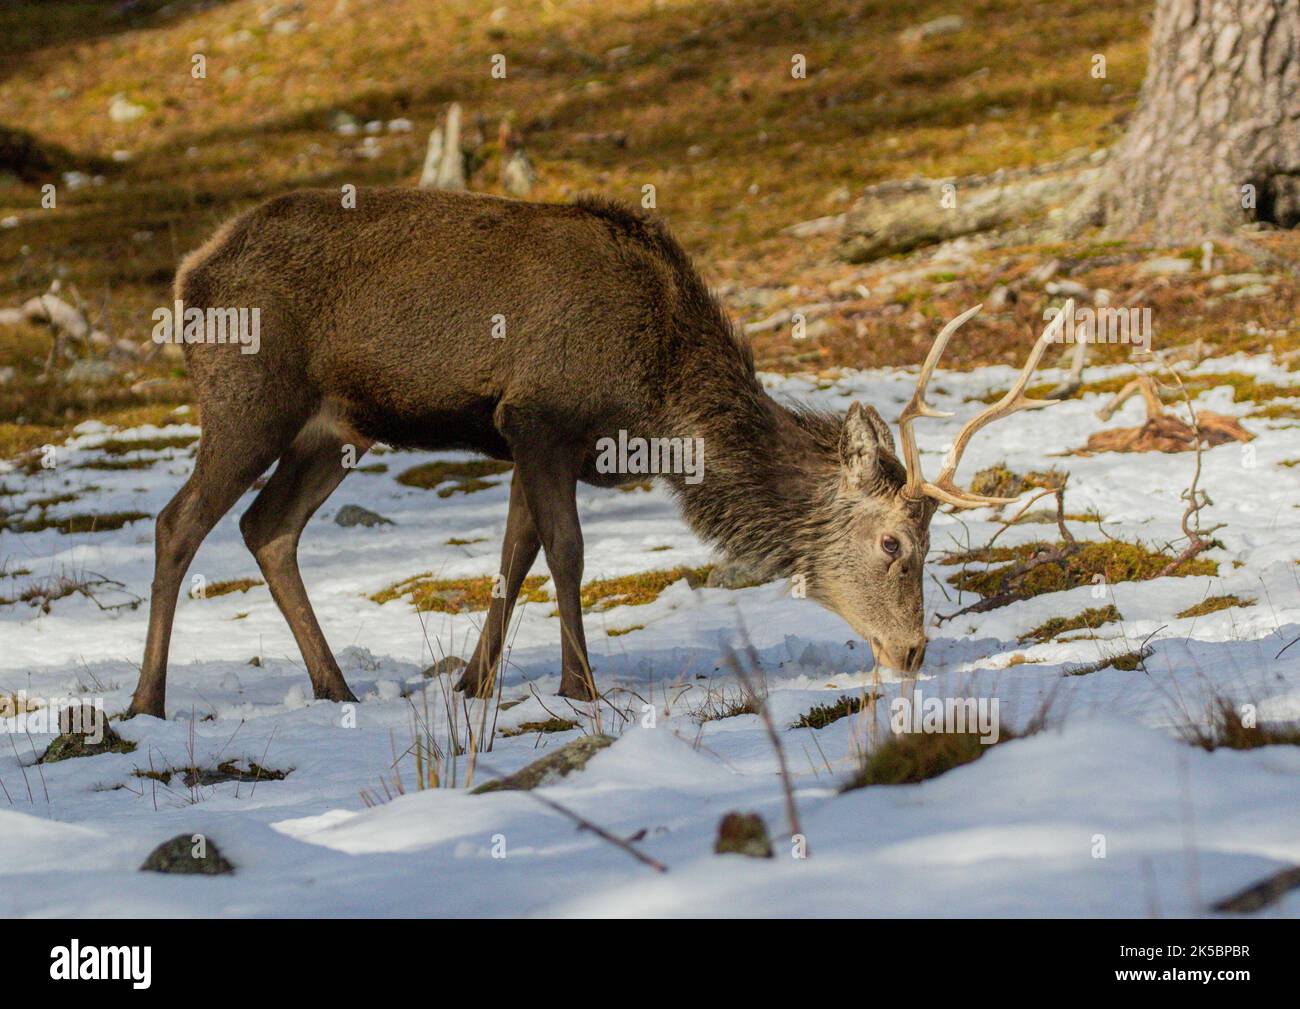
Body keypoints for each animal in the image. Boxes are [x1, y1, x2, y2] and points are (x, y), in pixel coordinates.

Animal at [127, 186, 1068, 719]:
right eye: (893, 542)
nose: (910, 654)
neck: (658, 399)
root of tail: (186, 274)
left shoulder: (528, 438)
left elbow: (515, 554)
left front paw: (473, 684)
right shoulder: (545, 416)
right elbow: (567, 554)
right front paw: (582, 687)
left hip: (334, 431)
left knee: (266, 528)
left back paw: (335, 687)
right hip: (249, 397)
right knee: (178, 523)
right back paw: (148, 700)